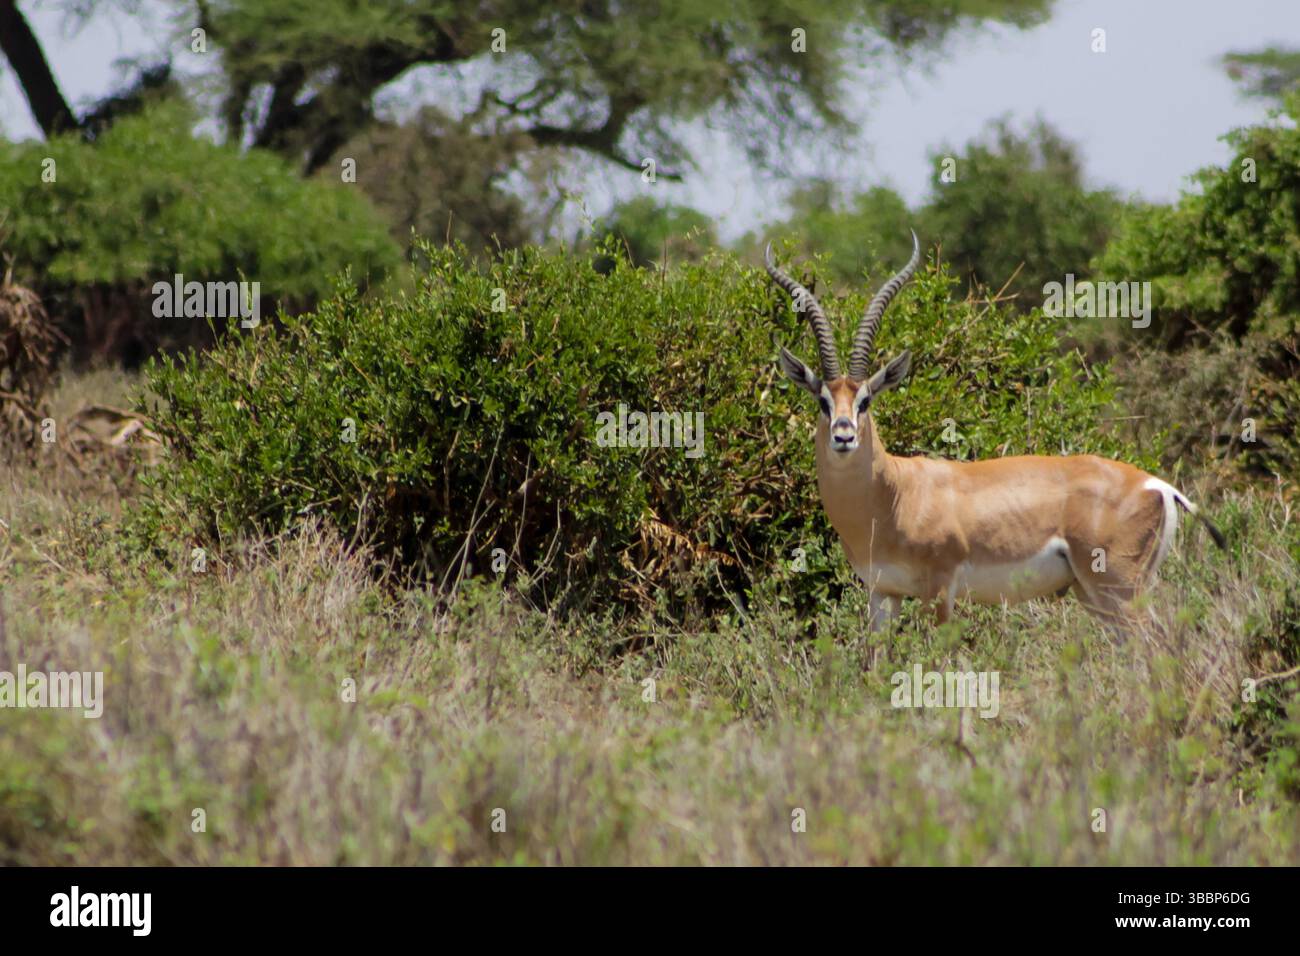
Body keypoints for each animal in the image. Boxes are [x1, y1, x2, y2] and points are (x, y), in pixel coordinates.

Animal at [765, 233, 1226, 632]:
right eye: (823, 401)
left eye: (865, 400)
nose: (844, 436)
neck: (894, 495)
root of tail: (1158, 485)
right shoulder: (883, 594)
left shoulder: (940, 589)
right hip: (1096, 595)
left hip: (1119, 588)